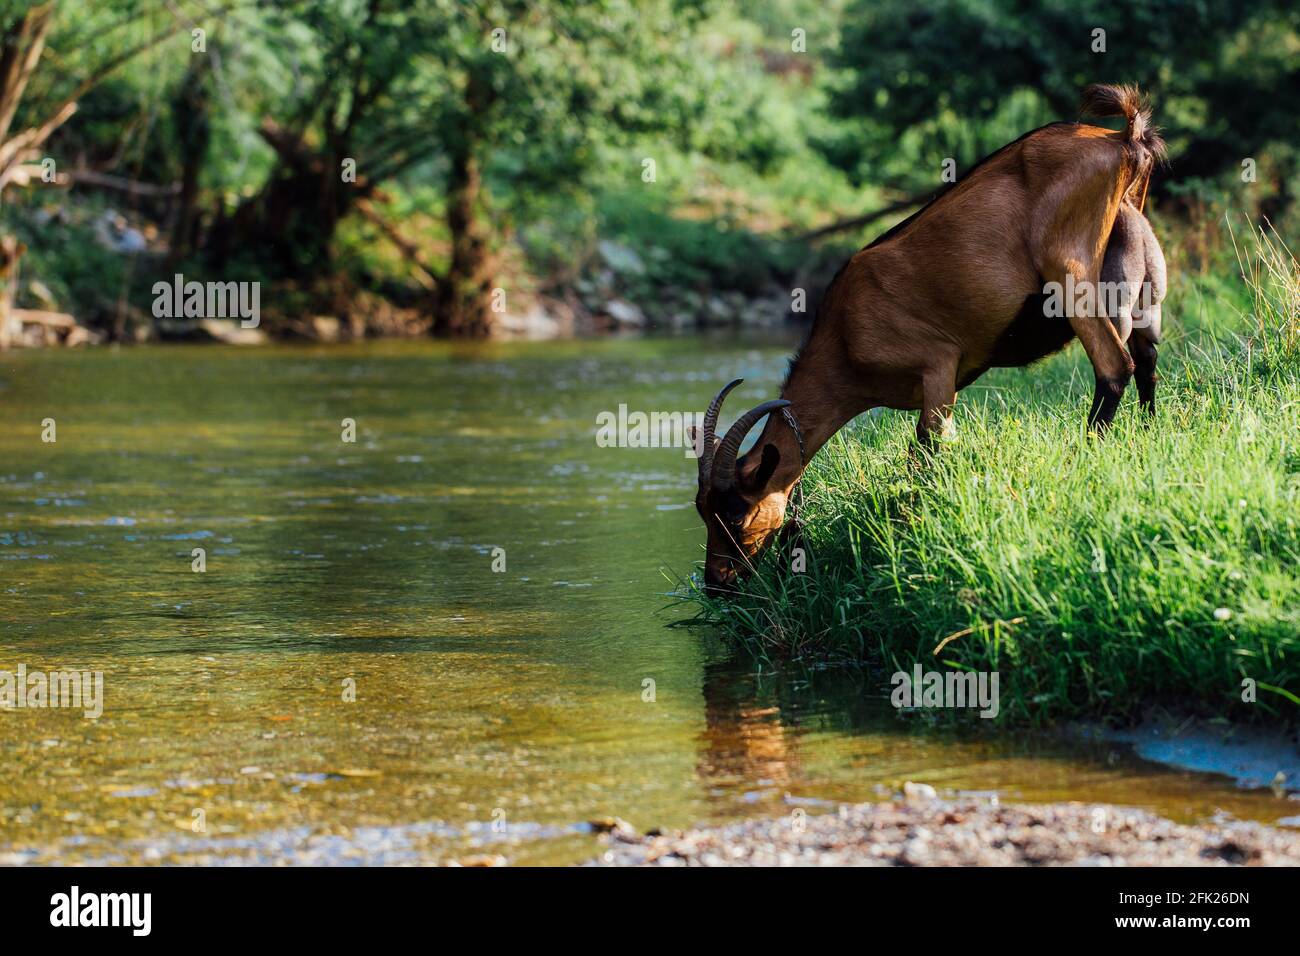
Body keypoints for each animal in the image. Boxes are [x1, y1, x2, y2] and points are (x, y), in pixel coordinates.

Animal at [693, 84, 1166, 591]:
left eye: (736, 511)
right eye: (703, 511)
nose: (717, 580)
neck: (843, 340)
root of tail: (1121, 142)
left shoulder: (938, 365)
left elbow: (926, 449)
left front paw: (907, 530)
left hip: (1072, 273)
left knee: (1114, 366)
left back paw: (1081, 458)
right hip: (1137, 281)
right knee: (1146, 360)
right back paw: (1148, 436)